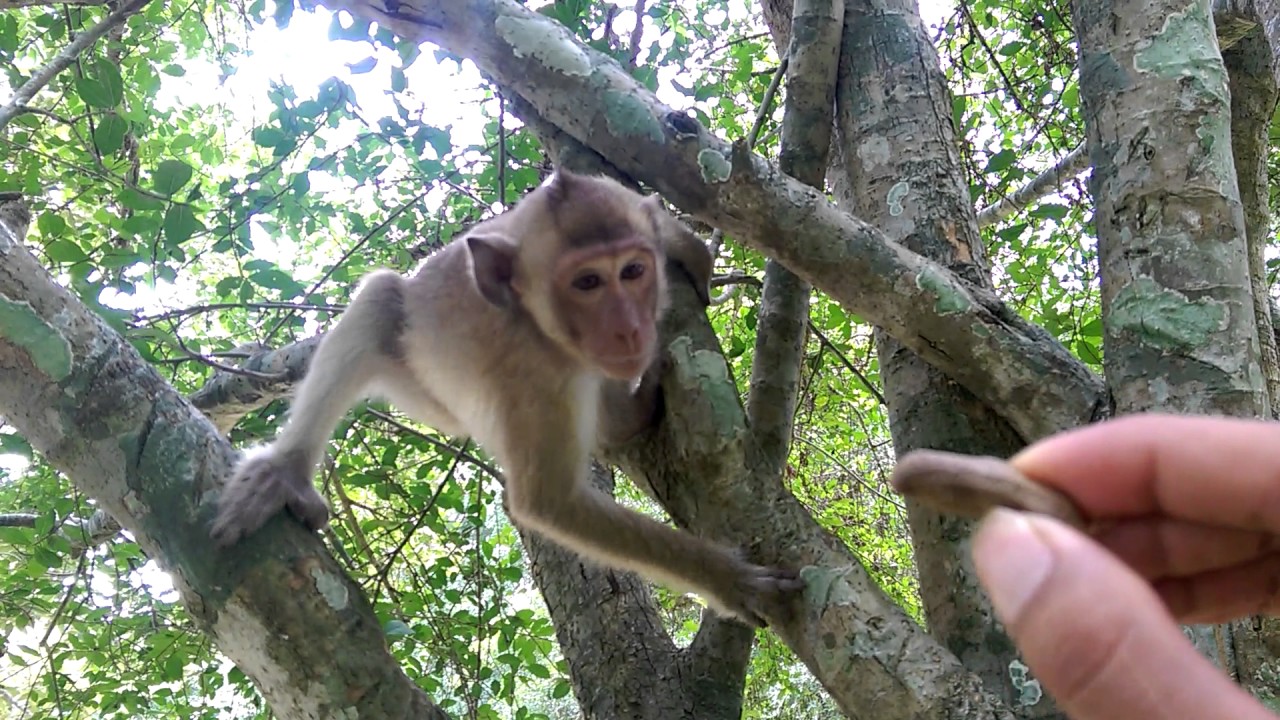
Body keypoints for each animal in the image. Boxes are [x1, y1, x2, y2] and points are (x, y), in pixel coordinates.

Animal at [211, 170, 803, 627]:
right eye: (588, 283)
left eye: (633, 271)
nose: (631, 329)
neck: (536, 322)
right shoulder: (531, 375)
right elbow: (549, 501)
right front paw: (728, 580)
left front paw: (684, 242)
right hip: (430, 398)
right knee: (379, 303)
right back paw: (286, 473)